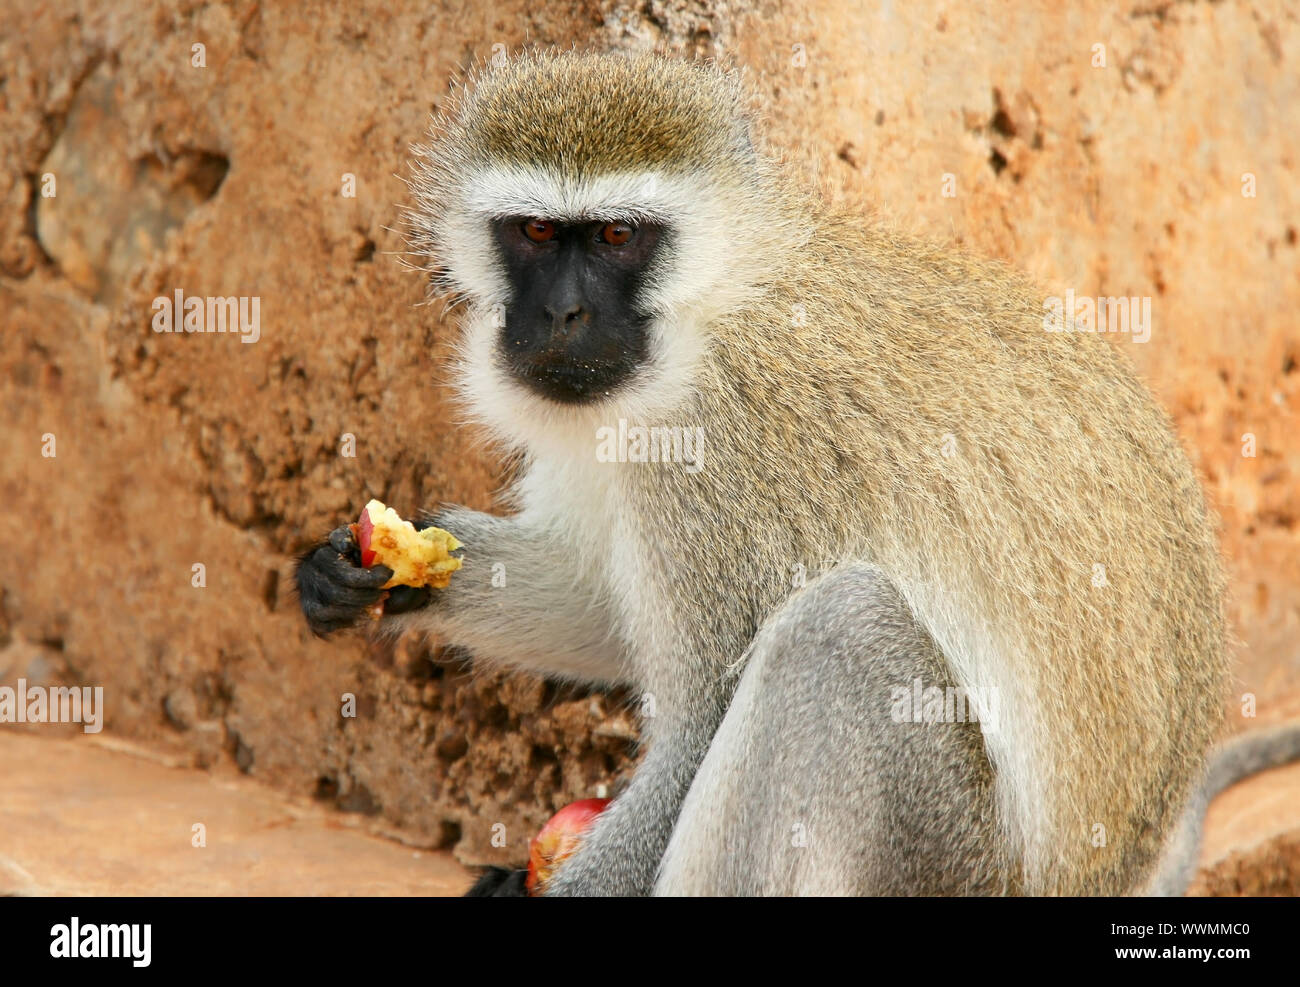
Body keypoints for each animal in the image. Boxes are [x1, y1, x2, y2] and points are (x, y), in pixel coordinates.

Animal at [296, 50, 1299, 896]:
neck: (707, 308)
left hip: (953, 858)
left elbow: (697, 730)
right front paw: (361, 571)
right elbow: (595, 597)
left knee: (839, 632)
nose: (563, 315)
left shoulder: (714, 443)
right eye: (538, 232)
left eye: (617, 236)